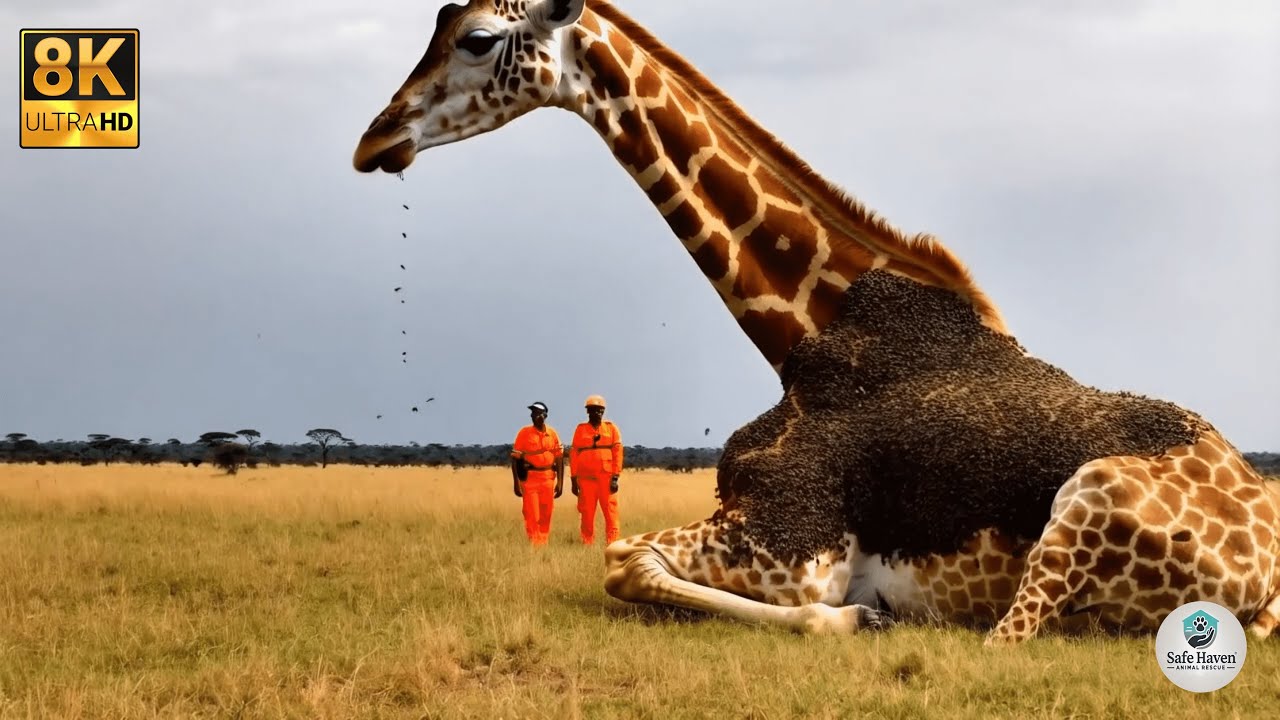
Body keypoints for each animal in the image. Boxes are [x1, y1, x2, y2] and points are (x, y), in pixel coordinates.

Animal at [351, 0, 1280, 644]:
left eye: (476, 37)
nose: (375, 140)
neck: (801, 336)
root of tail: (1265, 573)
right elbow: (624, 561)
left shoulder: (792, 546)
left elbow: (626, 562)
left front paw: (852, 619)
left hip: (1084, 500)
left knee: (1005, 638)